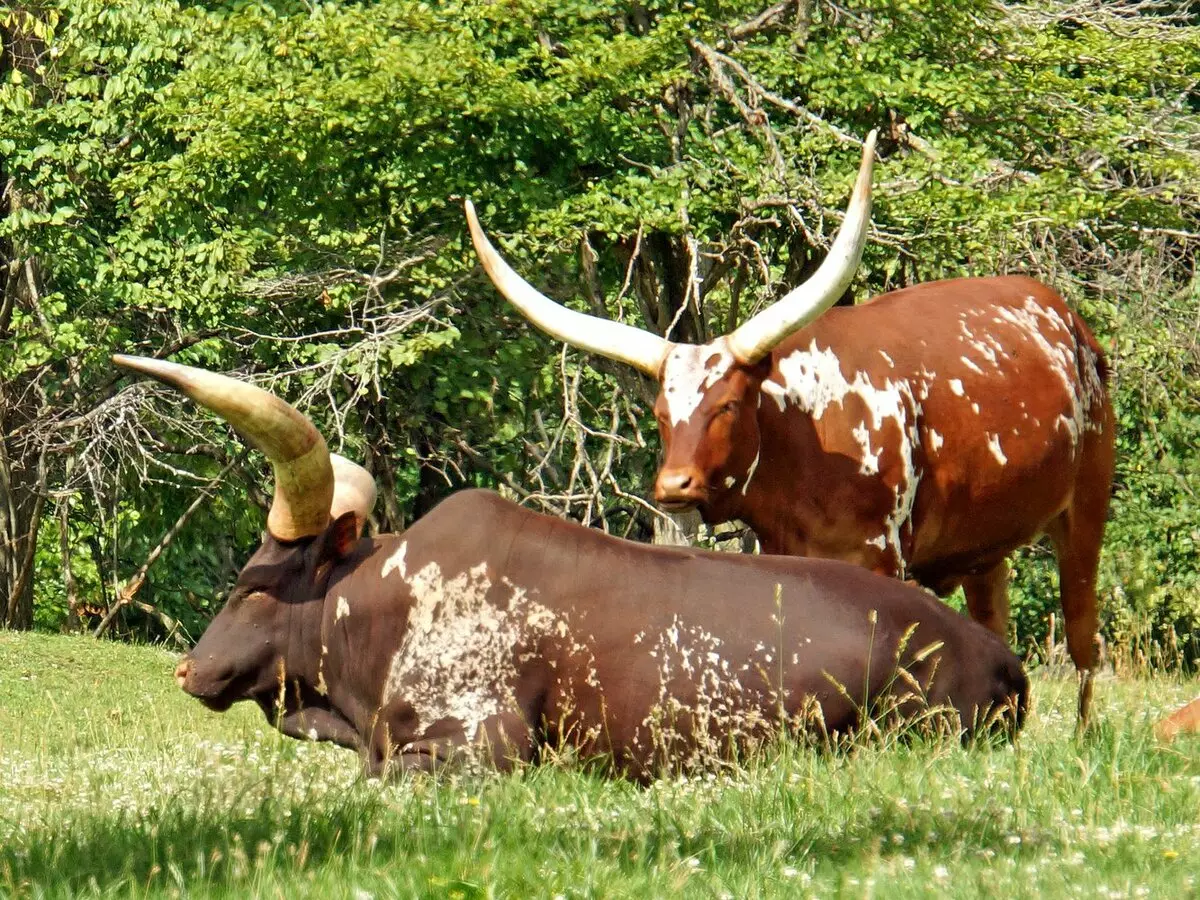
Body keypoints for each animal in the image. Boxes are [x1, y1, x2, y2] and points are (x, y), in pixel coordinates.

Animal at [465, 132, 1113, 724]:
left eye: (728, 405)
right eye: (659, 413)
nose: (673, 486)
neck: (804, 438)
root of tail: (1069, 318)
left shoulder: (880, 560)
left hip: (1085, 511)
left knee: (1085, 641)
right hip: (985, 547)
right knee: (995, 627)